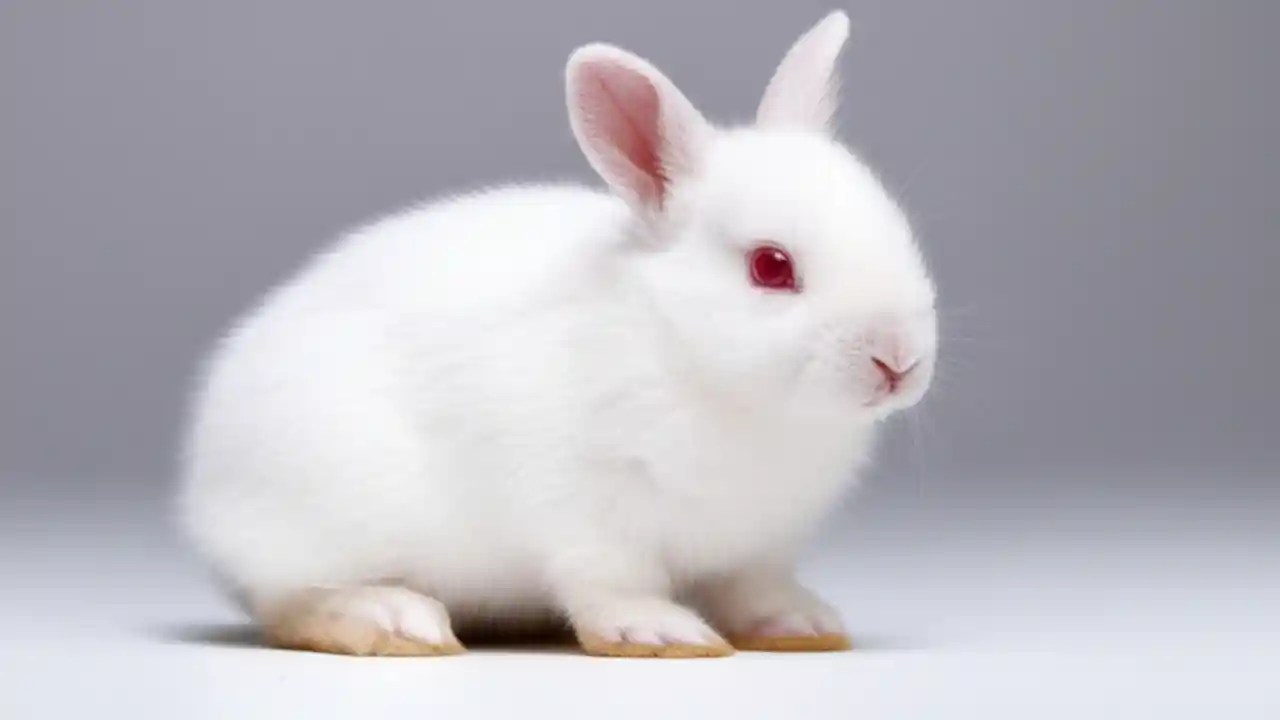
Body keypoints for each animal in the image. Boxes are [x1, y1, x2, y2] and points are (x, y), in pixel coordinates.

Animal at [180, 10, 937, 658]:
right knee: (289, 600)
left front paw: (801, 624)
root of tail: (205, 494)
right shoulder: (589, 512)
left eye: (897, 229)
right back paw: (395, 619)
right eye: (771, 266)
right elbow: (612, 583)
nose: (898, 358)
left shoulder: (761, 546)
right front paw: (658, 632)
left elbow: (753, 588)